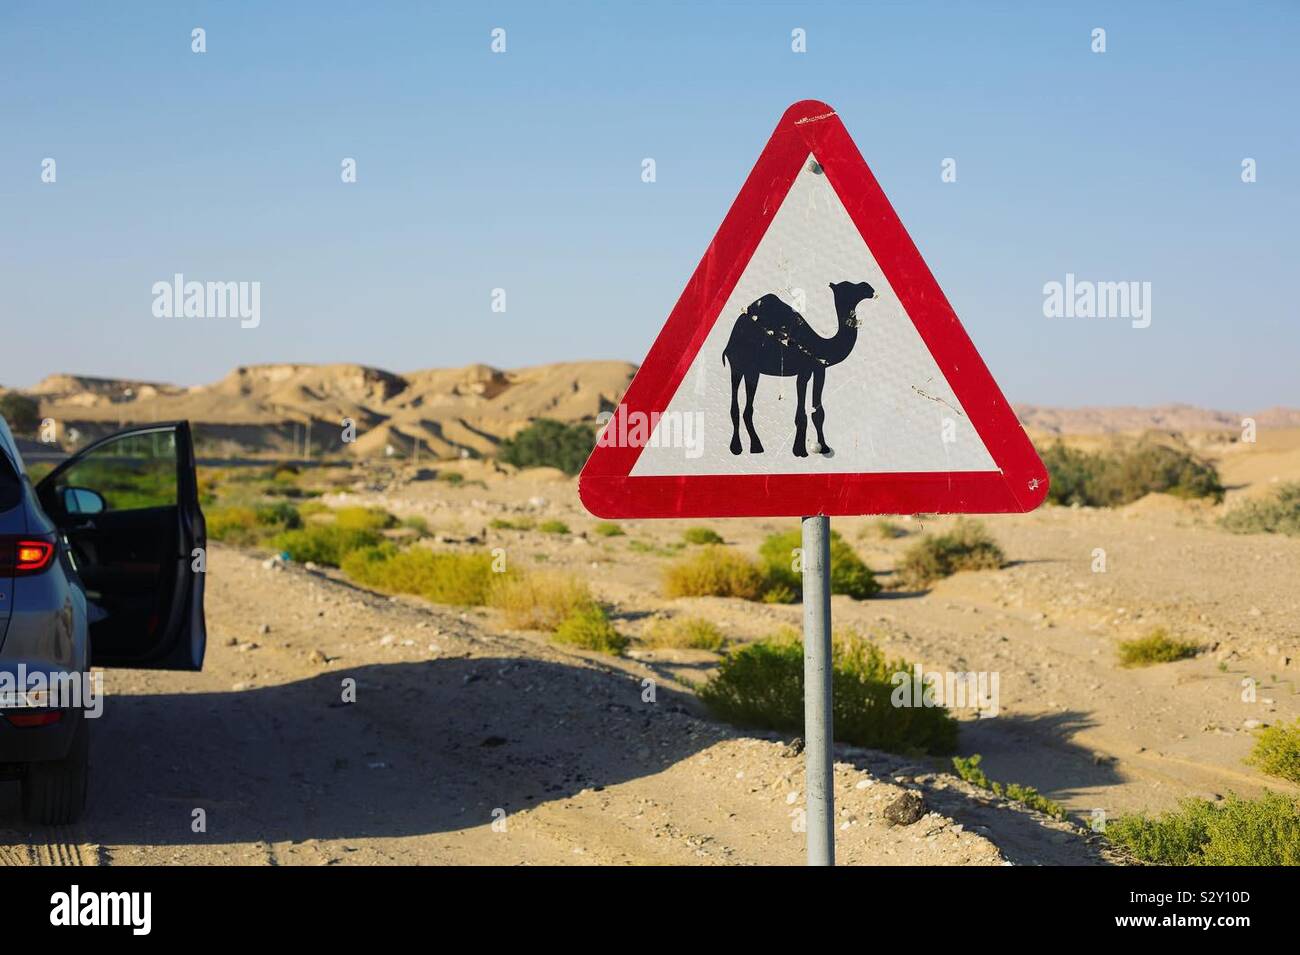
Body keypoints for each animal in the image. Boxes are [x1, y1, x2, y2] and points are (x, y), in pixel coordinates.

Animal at [722, 281, 875, 457]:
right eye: (848, 287)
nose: (868, 287)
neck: (821, 346)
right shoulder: (804, 370)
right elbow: (801, 414)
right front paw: (800, 450)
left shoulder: (819, 369)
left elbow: (819, 413)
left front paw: (823, 447)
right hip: (737, 364)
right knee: (735, 405)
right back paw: (736, 448)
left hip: (752, 370)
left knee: (748, 407)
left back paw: (756, 446)